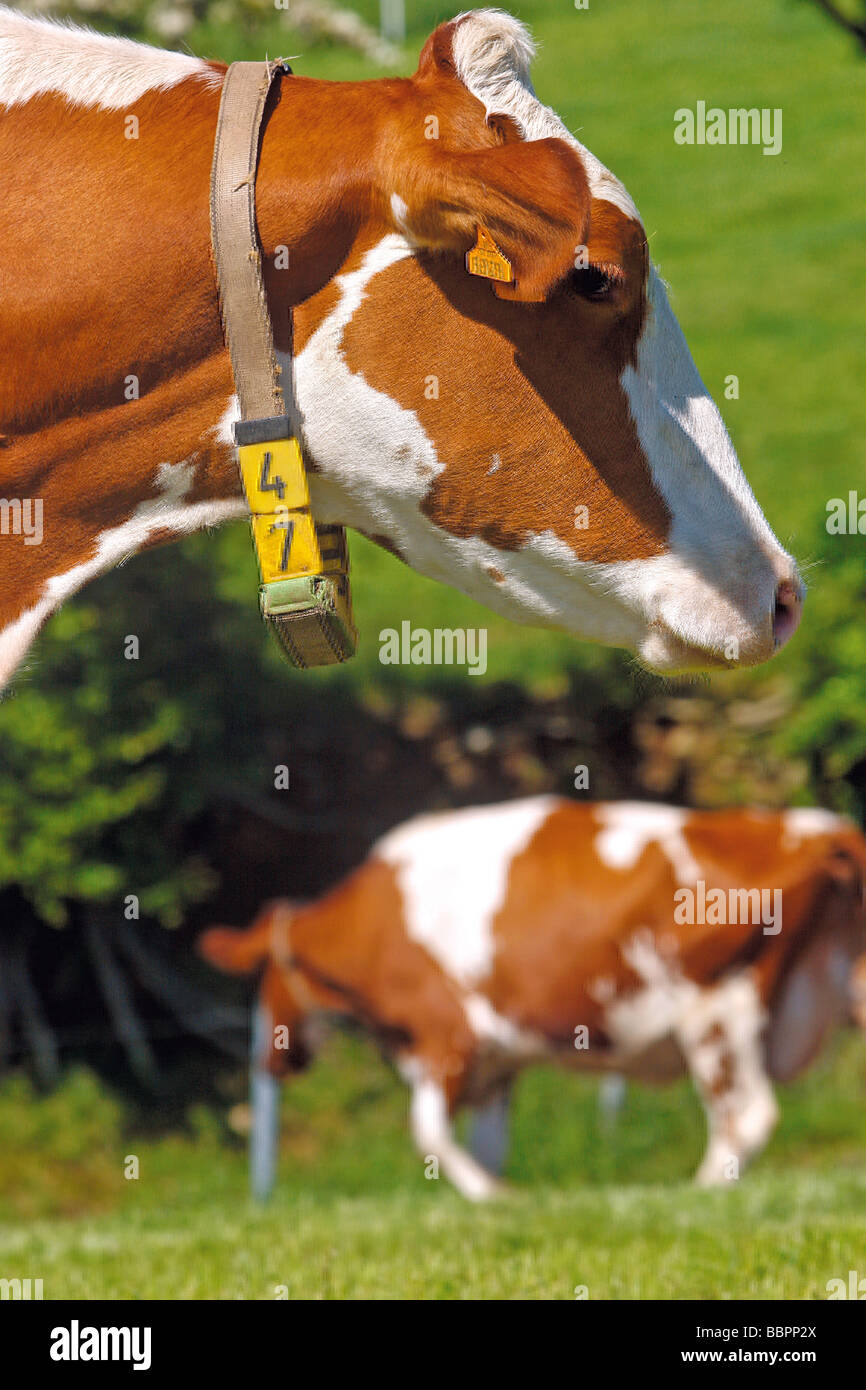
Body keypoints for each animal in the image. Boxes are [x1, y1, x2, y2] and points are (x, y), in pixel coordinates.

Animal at [200, 799, 866, 1199]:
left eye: (264, 978)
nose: (269, 1059)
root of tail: (817, 828)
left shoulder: (447, 1035)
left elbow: (429, 1134)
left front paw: (493, 1198)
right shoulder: (496, 1064)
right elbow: (485, 1145)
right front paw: (495, 1195)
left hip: (719, 1009)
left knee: (745, 1119)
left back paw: (699, 1193)